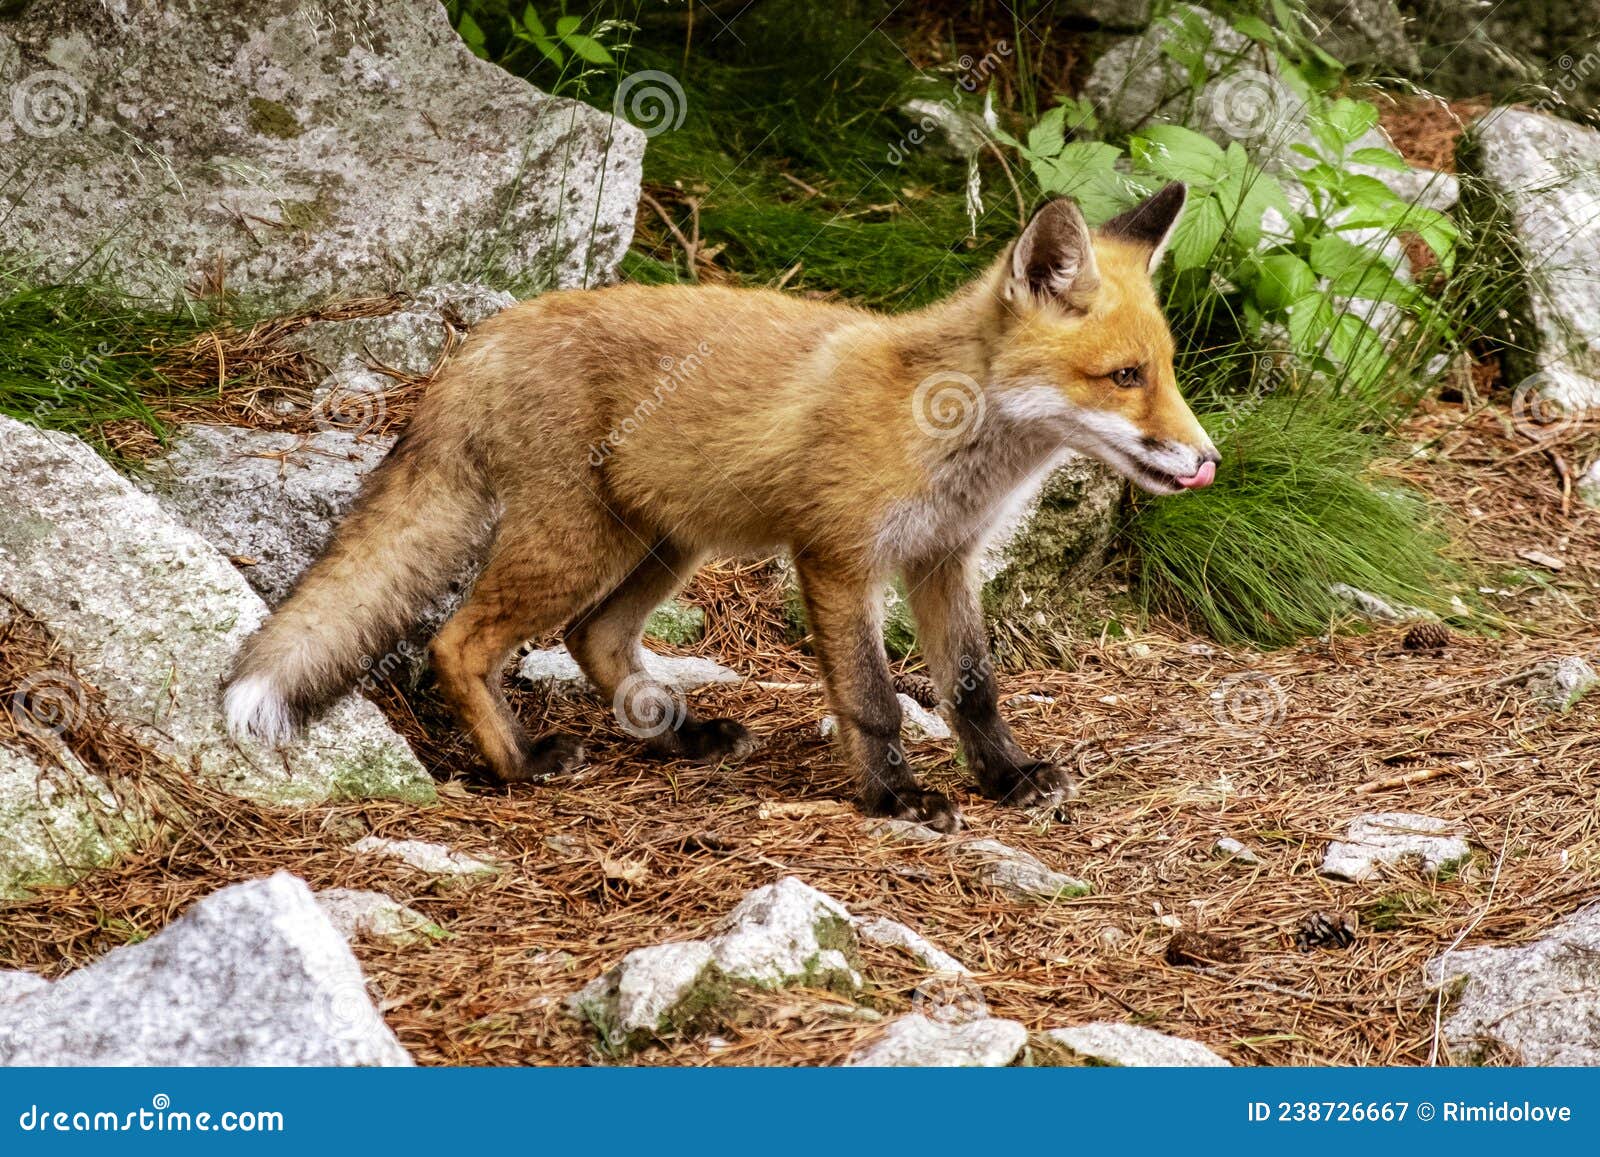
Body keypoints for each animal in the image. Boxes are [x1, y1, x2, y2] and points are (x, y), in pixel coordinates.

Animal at [224, 182, 1217, 833]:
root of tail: (482, 339)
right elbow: (874, 699)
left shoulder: (944, 558)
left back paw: (679, 736)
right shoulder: (837, 557)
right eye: (1124, 376)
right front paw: (894, 798)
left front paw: (1006, 777)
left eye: (1166, 370)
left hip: (664, 544)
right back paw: (521, 763)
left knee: (595, 638)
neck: (944, 429)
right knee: (458, 642)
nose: (1208, 461)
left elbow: (973, 688)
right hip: (579, 543)